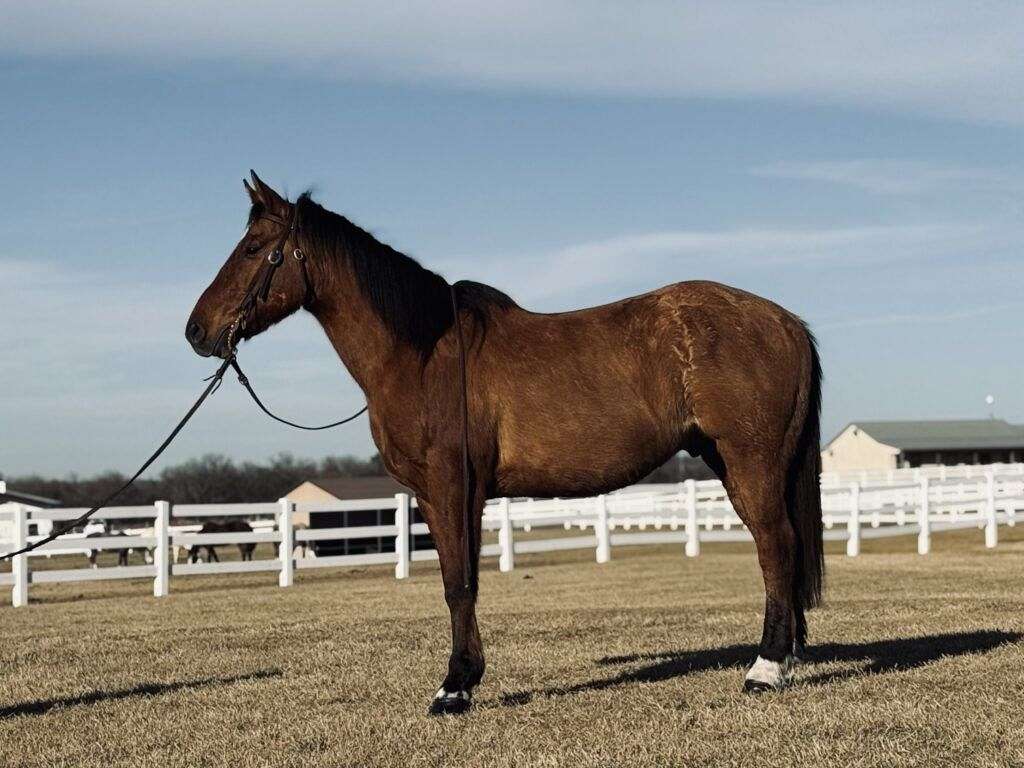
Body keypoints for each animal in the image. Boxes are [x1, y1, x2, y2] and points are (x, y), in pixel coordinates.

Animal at [186, 172, 824, 715]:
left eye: (252, 249)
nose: (197, 331)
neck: (422, 353)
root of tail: (786, 322)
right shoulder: (436, 495)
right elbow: (457, 579)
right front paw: (462, 680)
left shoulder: (453, 487)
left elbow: (459, 583)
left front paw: (455, 688)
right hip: (733, 462)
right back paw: (786, 657)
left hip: (749, 460)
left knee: (776, 546)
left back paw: (765, 669)